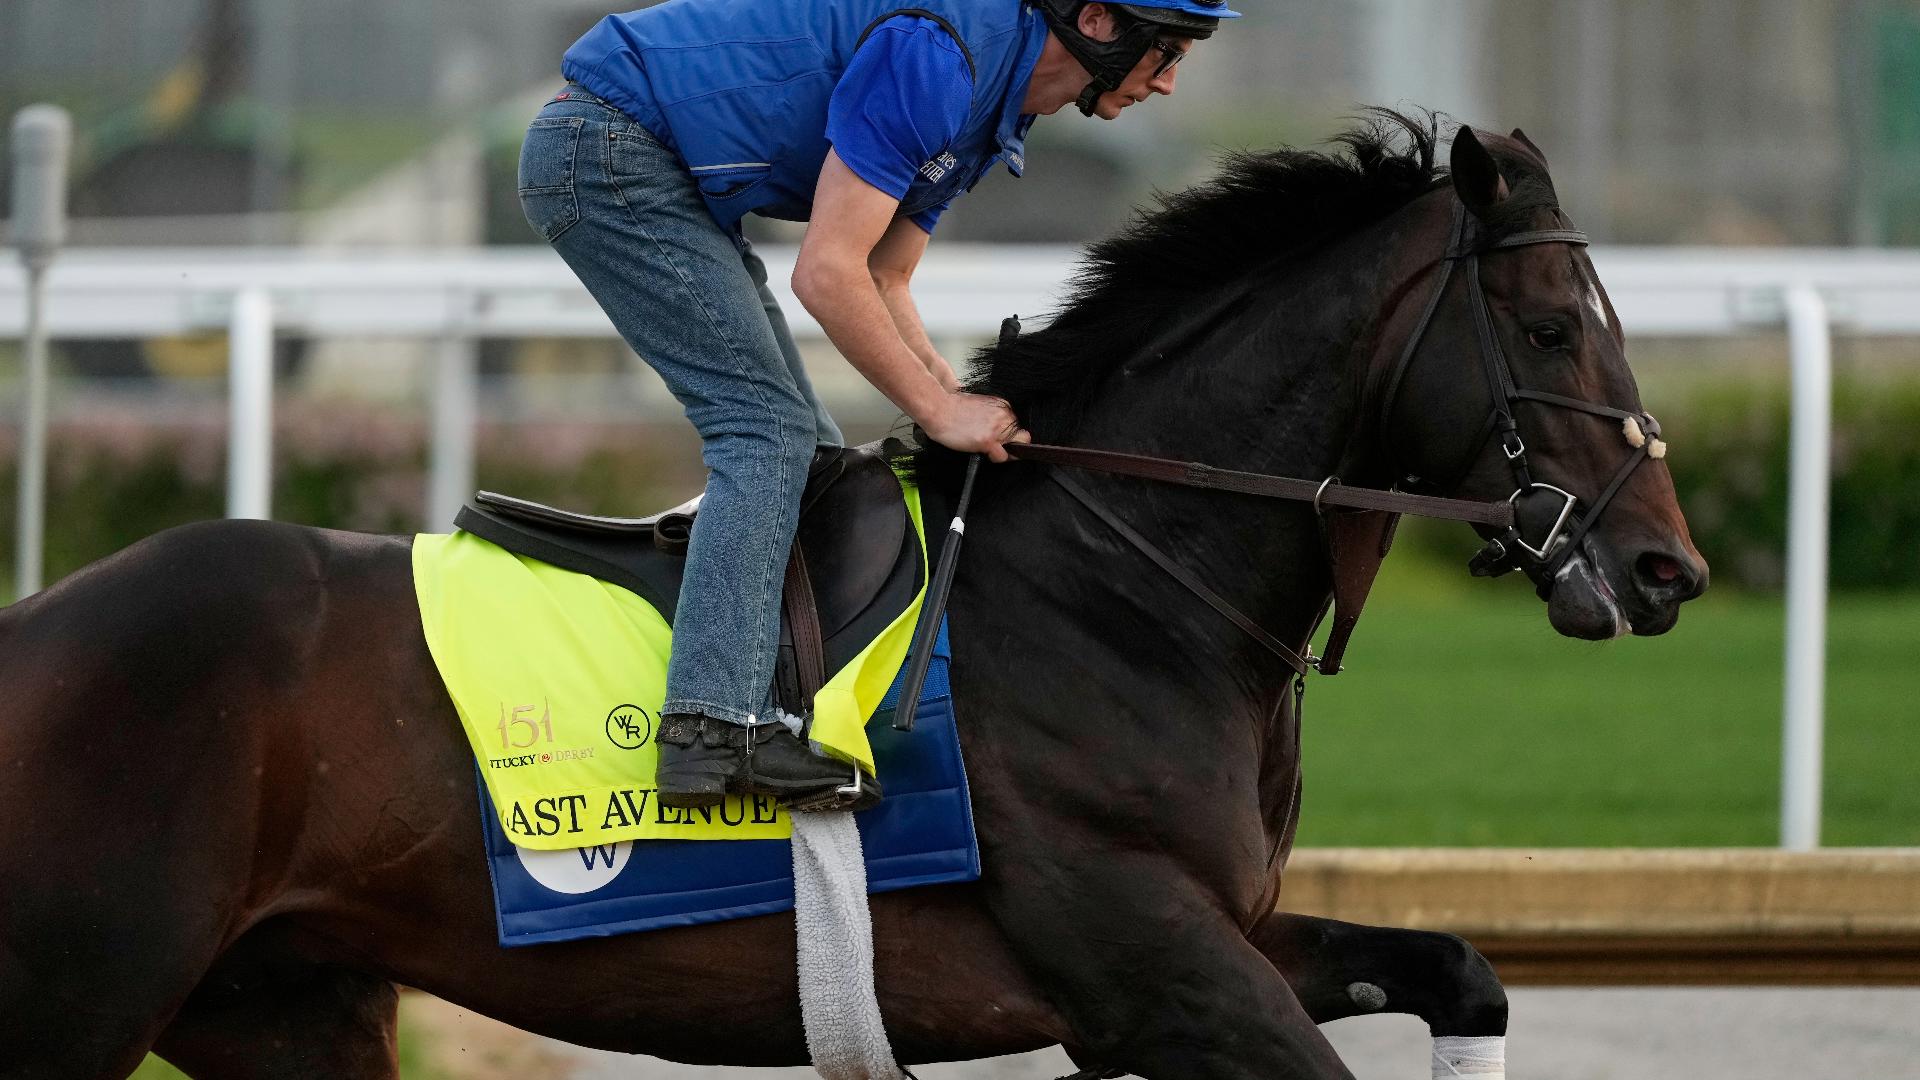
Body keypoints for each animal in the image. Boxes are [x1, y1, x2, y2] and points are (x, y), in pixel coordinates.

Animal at [0, 114, 1705, 1080]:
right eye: (1553, 328)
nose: (1666, 566)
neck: (1116, 593)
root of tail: (36, 628)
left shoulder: (1212, 943)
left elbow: (1462, 969)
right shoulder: (1155, 969)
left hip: (281, 1006)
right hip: (83, 992)